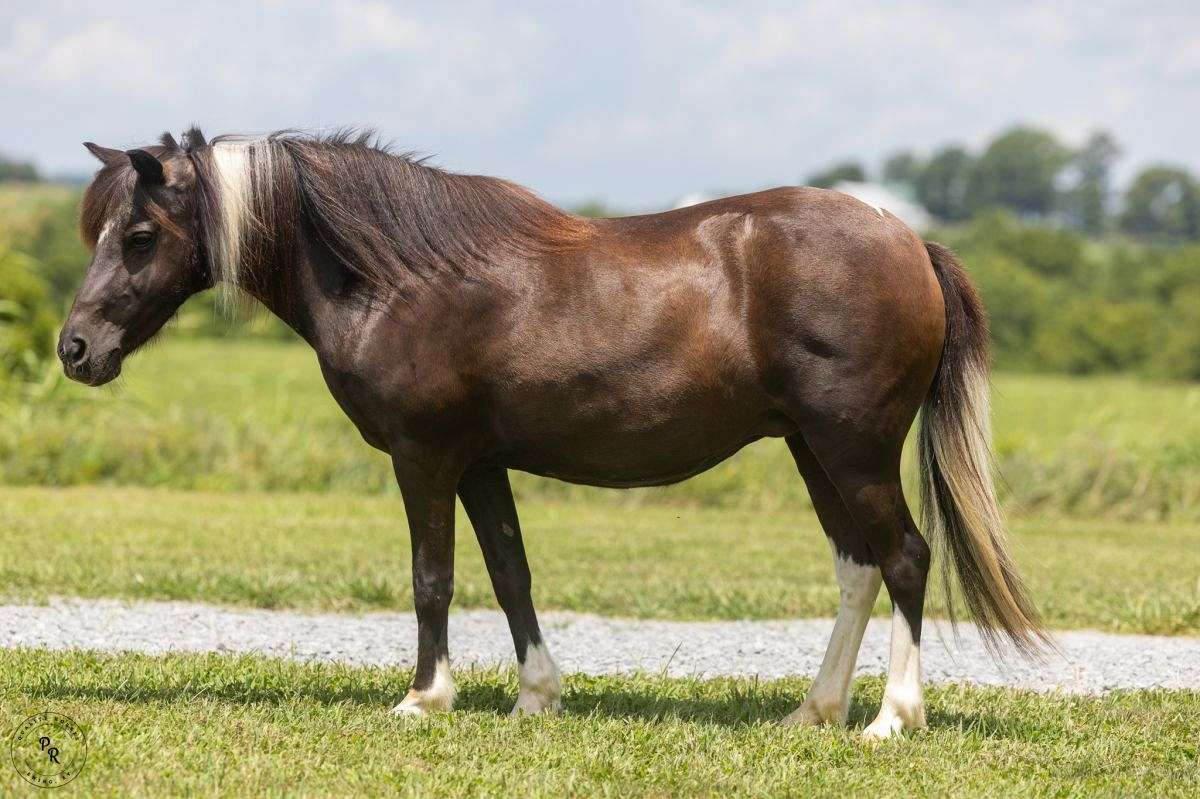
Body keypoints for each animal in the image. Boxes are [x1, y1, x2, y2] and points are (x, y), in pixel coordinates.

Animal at [60, 128, 1045, 738]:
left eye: (139, 234)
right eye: (98, 229)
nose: (77, 349)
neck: (397, 276)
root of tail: (908, 240)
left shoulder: (425, 457)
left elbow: (431, 577)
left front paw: (424, 698)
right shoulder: (480, 463)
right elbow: (509, 573)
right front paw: (536, 695)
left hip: (854, 448)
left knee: (906, 557)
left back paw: (891, 717)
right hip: (813, 450)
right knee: (857, 566)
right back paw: (814, 710)